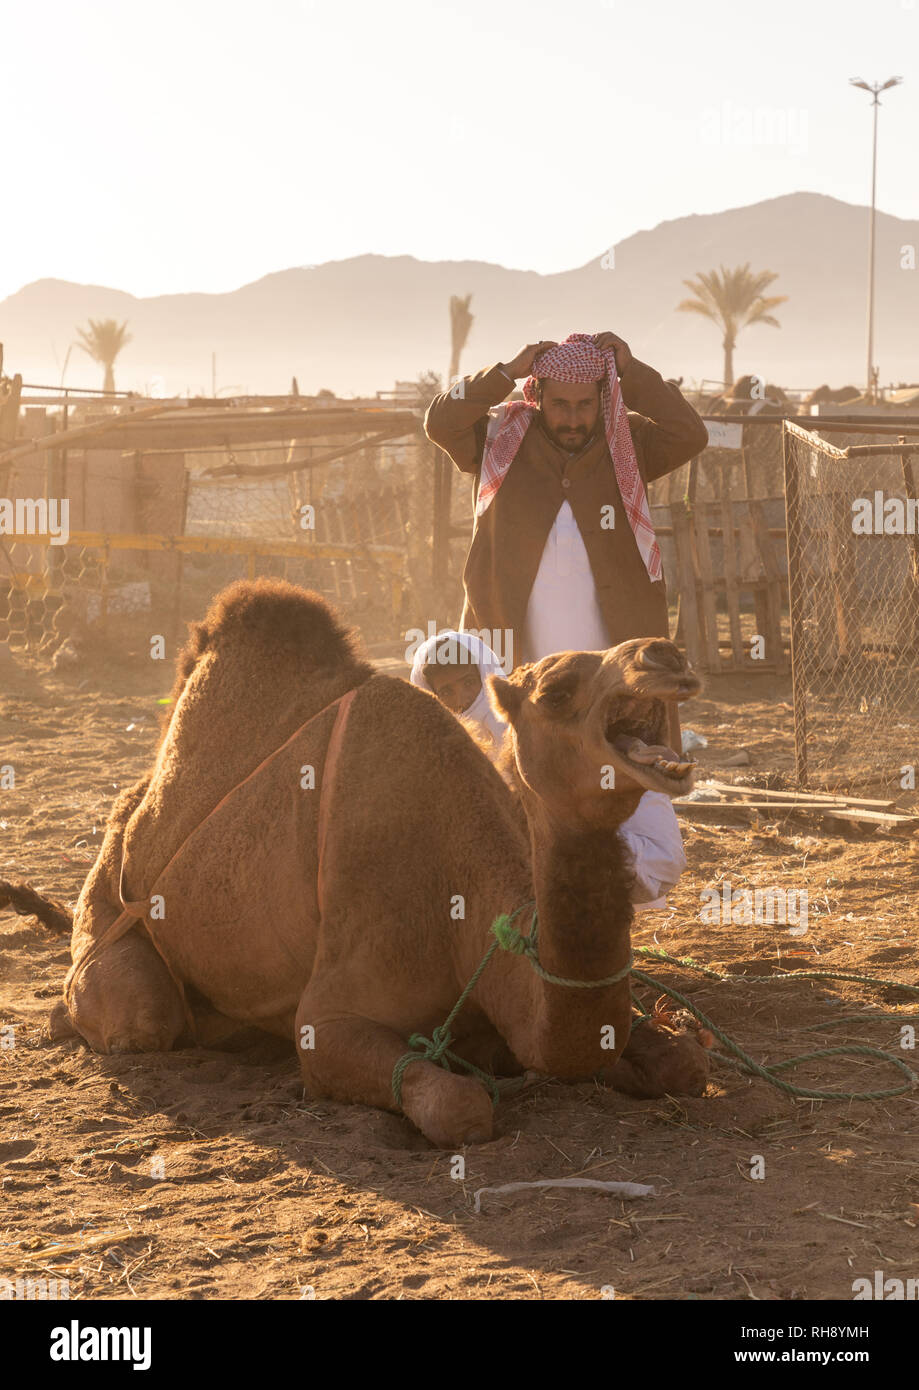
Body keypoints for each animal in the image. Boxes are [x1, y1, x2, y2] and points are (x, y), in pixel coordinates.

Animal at [1, 579, 711, 1148]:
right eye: (558, 690)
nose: (667, 653)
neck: (461, 902)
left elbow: (681, 1064)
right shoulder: (331, 1014)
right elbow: (458, 1106)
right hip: (109, 909)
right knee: (139, 1020)